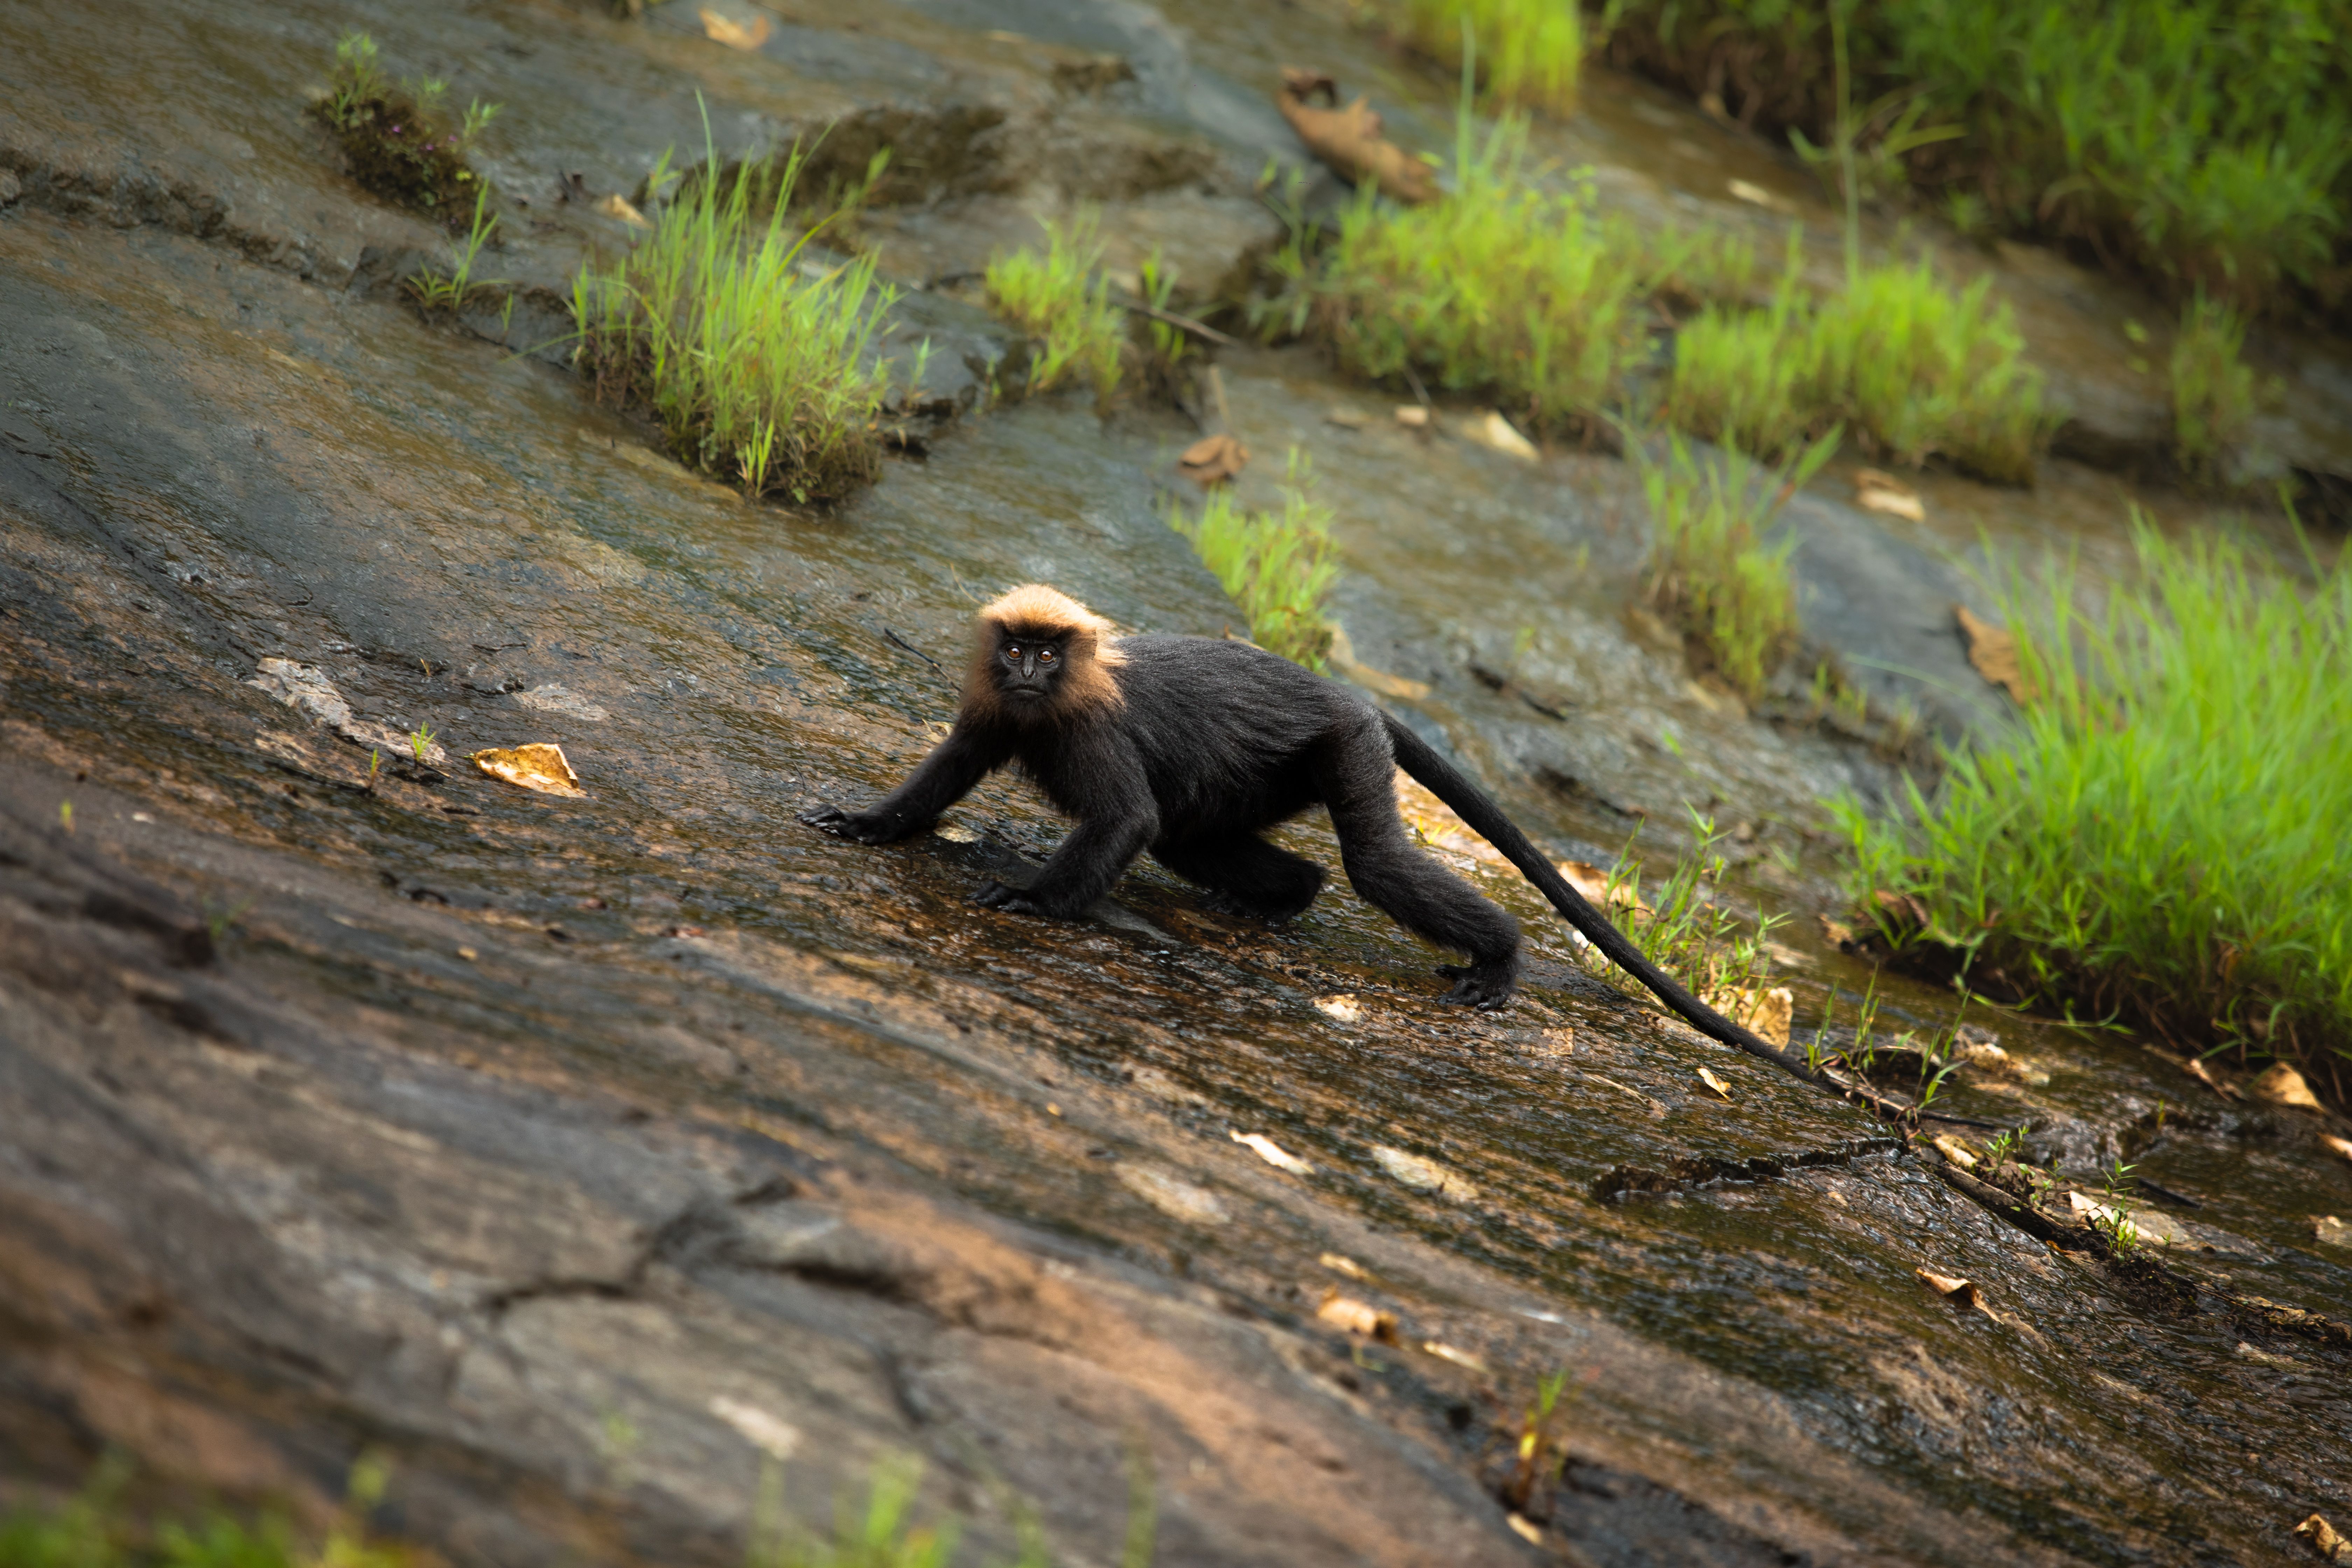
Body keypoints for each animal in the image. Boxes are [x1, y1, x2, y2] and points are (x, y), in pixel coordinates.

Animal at [799, 585, 1818, 1081]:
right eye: (1015, 648)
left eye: (1049, 654)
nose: (1025, 666)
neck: (1046, 701)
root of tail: (1340, 692)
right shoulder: (992, 712)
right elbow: (950, 772)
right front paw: (866, 821)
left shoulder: (1091, 728)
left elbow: (1124, 817)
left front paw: (1036, 898)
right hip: (1265, 773)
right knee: (1208, 845)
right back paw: (1280, 901)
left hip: (1346, 747)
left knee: (1368, 863)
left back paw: (1499, 959)